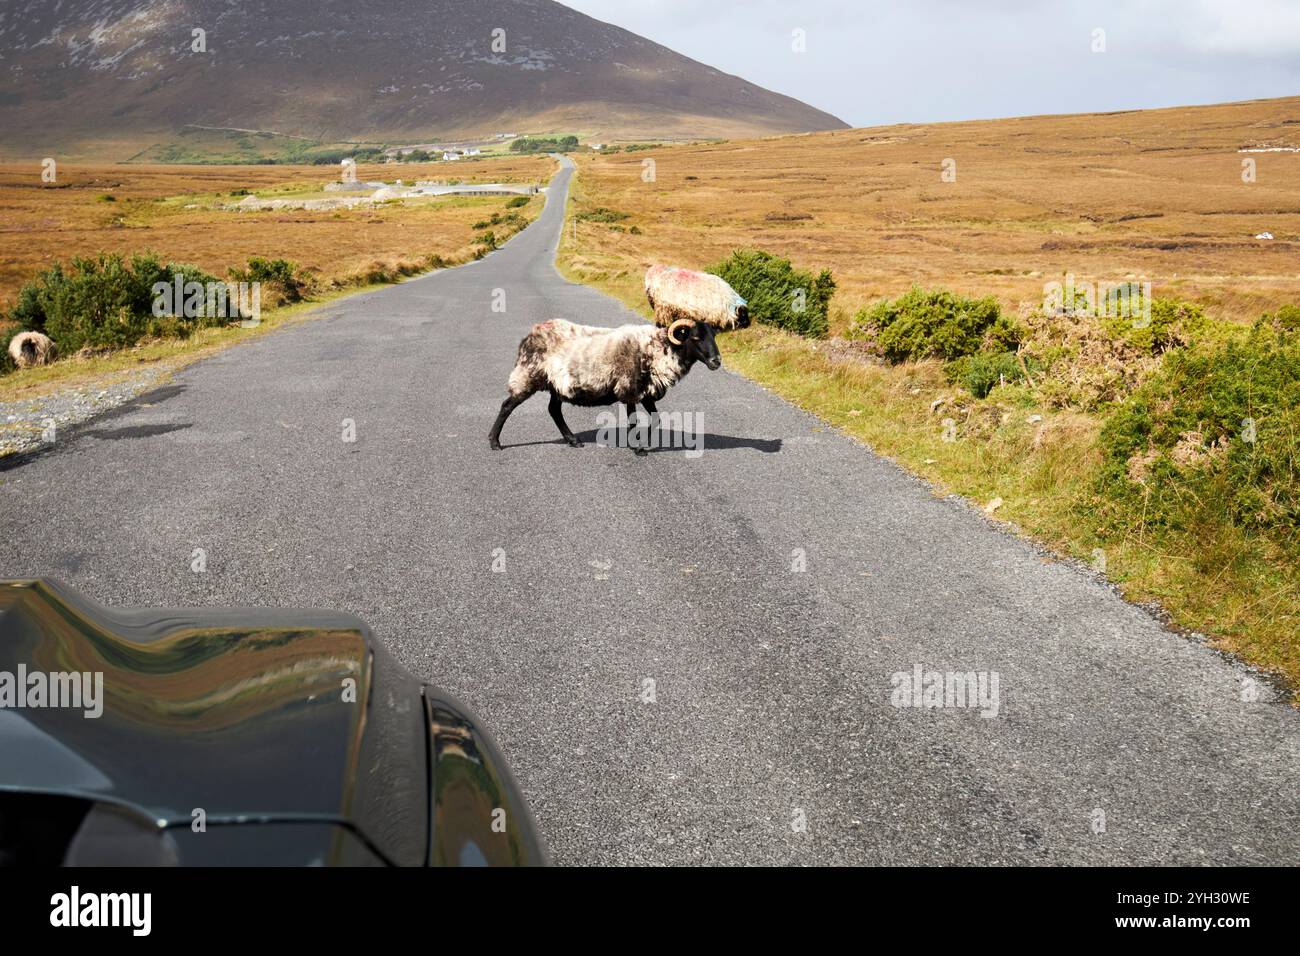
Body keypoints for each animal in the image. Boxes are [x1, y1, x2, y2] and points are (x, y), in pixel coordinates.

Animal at [488, 317, 720, 454]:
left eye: (714, 336)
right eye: (695, 337)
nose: (716, 362)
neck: (659, 350)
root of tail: (531, 333)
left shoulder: (645, 392)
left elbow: (656, 420)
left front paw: (641, 440)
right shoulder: (629, 387)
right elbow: (634, 420)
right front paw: (637, 447)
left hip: (556, 384)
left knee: (553, 410)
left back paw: (573, 440)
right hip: (528, 375)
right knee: (507, 406)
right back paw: (494, 442)